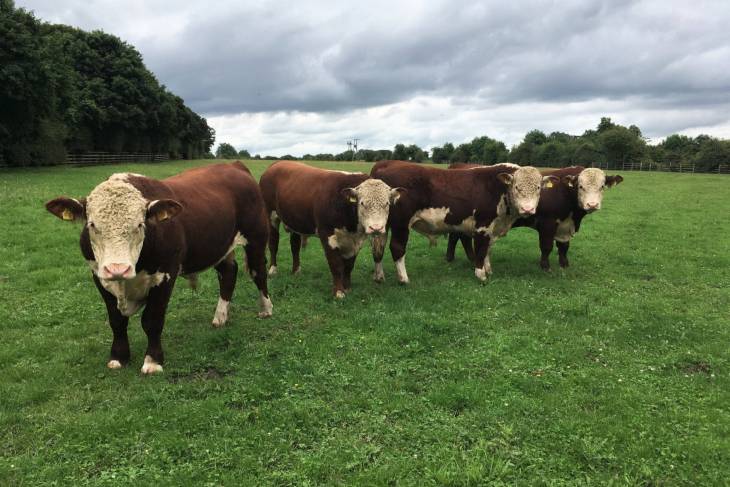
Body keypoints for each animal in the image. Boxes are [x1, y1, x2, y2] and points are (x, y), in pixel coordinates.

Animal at [45, 162, 272, 374]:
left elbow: (152, 320)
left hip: (256, 237)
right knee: (228, 273)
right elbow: (117, 321)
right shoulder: (99, 276)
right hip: (220, 246)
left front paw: (153, 360)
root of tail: (233, 165)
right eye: (92, 225)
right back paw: (220, 317)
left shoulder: (165, 274)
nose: (118, 269)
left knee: (258, 271)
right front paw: (119, 357)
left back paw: (266, 309)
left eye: (140, 225)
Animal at [259, 161, 402, 298]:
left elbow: (349, 265)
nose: (376, 228)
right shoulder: (327, 235)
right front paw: (338, 292)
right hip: (270, 215)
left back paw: (296, 270)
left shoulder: (356, 241)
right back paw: (273, 269)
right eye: (362, 203)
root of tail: (276, 164)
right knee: (273, 243)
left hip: (295, 221)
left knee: (294, 246)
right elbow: (336, 265)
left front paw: (347, 287)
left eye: (387, 203)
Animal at [369, 160, 558, 283]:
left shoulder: (492, 228)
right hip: (401, 224)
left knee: (378, 247)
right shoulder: (483, 225)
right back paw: (403, 278)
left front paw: (488, 269)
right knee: (397, 247)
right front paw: (481, 274)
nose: (528, 209)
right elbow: (481, 249)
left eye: (538, 188)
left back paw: (379, 276)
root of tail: (387, 164)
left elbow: (487, 250)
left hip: (383, 223)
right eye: (517, 187)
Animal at [445, 164, 624, 270]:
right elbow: (546, 246)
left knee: (458, 237)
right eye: (580, 186)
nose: (592, 205)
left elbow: (564, 247)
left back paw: (462, 258)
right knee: (458, 237)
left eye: (602, 186)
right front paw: (545, 266)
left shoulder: (565, 225)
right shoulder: (547, 223)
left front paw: (564, 264)